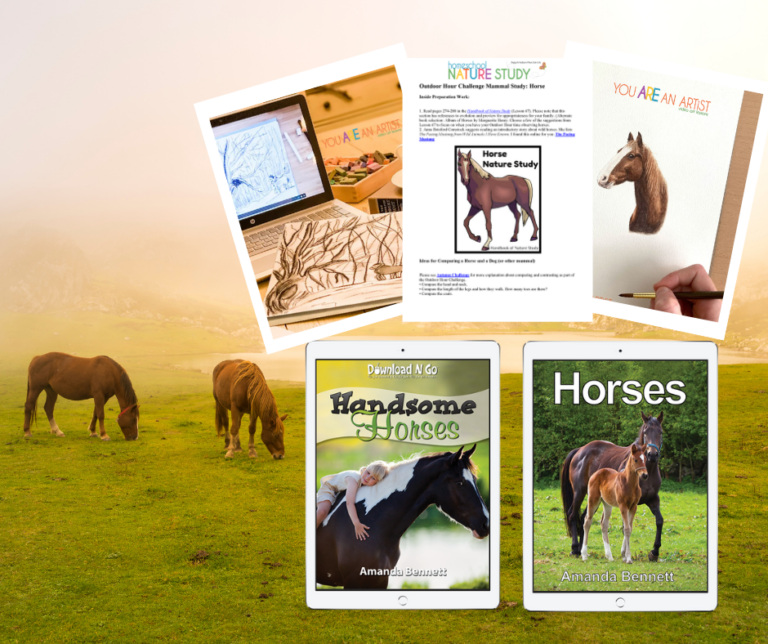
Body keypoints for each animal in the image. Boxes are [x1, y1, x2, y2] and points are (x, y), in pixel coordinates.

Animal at [316, 445, 490, 589]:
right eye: (459, 483)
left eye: (475, 480)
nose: (486, 524)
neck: (372, 520)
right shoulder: (355, 581)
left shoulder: (379, 581)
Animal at [561, 412, 665, 561]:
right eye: (645, 432)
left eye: (660, 432)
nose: (652, 454)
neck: (647, 472)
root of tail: (579, 451)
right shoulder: (626, 502)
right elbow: (625, 525)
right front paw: (625, 553)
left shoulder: (652, 499)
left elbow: (659, 521)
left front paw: (654, 552)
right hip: (579, 493)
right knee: (572, 515)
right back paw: (575, 548)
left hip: (595, 498)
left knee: (585, 518)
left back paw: (582, 549)